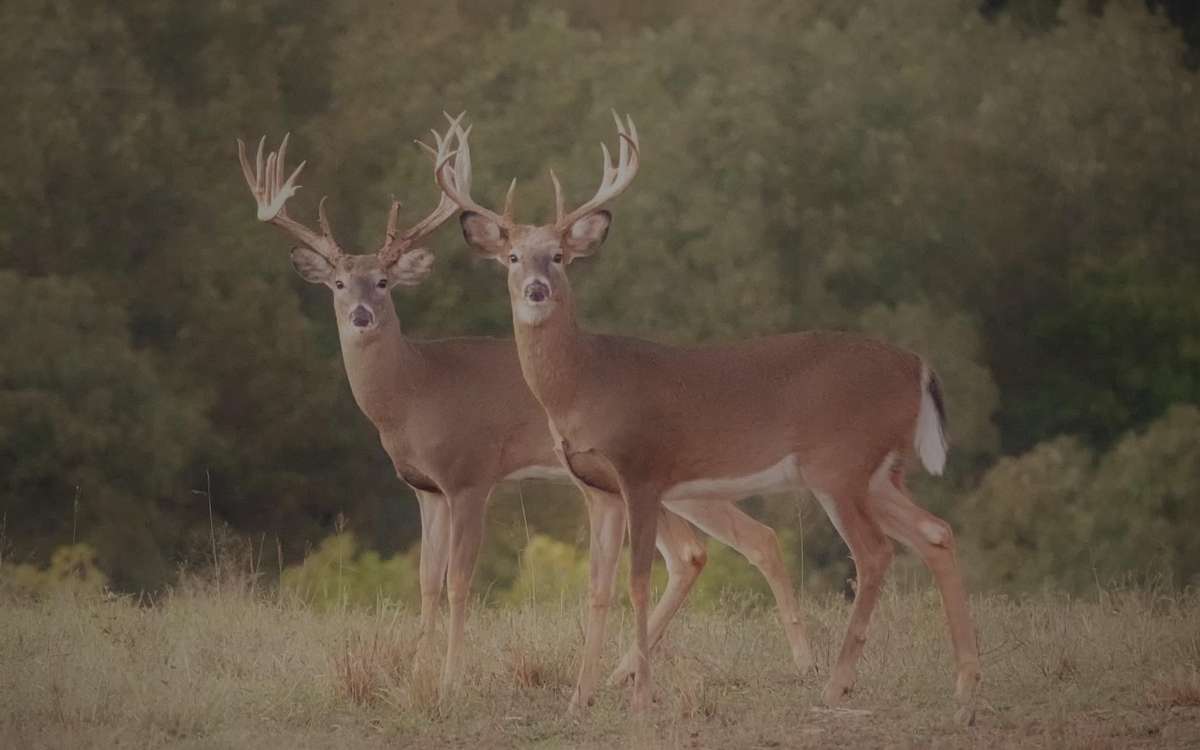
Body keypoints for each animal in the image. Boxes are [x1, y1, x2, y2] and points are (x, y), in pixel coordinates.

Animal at [236, 119, 816, 704]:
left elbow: (458, 581)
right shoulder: (425, 489)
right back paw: (620, 672)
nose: (360, 315)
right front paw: (417, 679)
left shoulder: (470, 474)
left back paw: (800, 663)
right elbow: (425, 581)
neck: (413, 392)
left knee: (751, 541)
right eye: (338, 284)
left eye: (383, 282)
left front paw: (449, 683)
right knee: (692, 555)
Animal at [433, 114, 981, 724]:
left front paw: (640, 697)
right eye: (512, 257)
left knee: (876, 553)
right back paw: (964, 686)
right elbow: (597, 588)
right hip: (879, 472)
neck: (584, 383)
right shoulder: (596, 488)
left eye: (558, 255)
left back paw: (837, 685)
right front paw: (579, 699)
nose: (536, 289)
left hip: (839, 464)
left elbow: (639, 582)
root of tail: (918, 366)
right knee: (935, 533)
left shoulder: (642, 470)